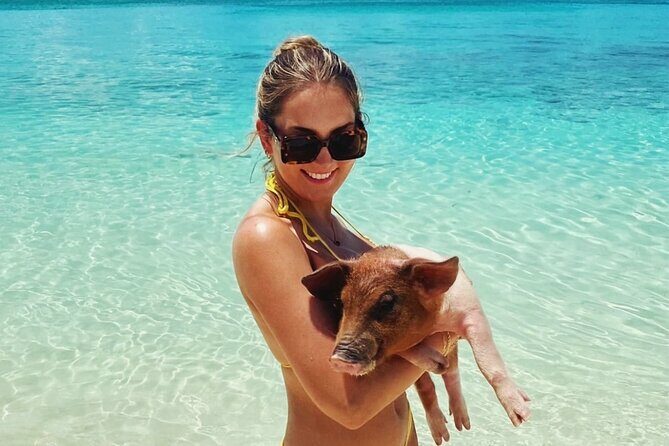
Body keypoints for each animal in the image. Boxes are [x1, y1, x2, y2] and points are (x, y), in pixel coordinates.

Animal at [302, 246, 530, 444]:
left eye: (387, 302)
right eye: (342, 302)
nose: (339, 358)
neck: (435, 322)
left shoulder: (471, 310)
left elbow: (488, 361)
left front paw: (522, 416)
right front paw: (437, 363)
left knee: (453, 374)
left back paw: (462, 425)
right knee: (429, 385)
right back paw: (443, 435)